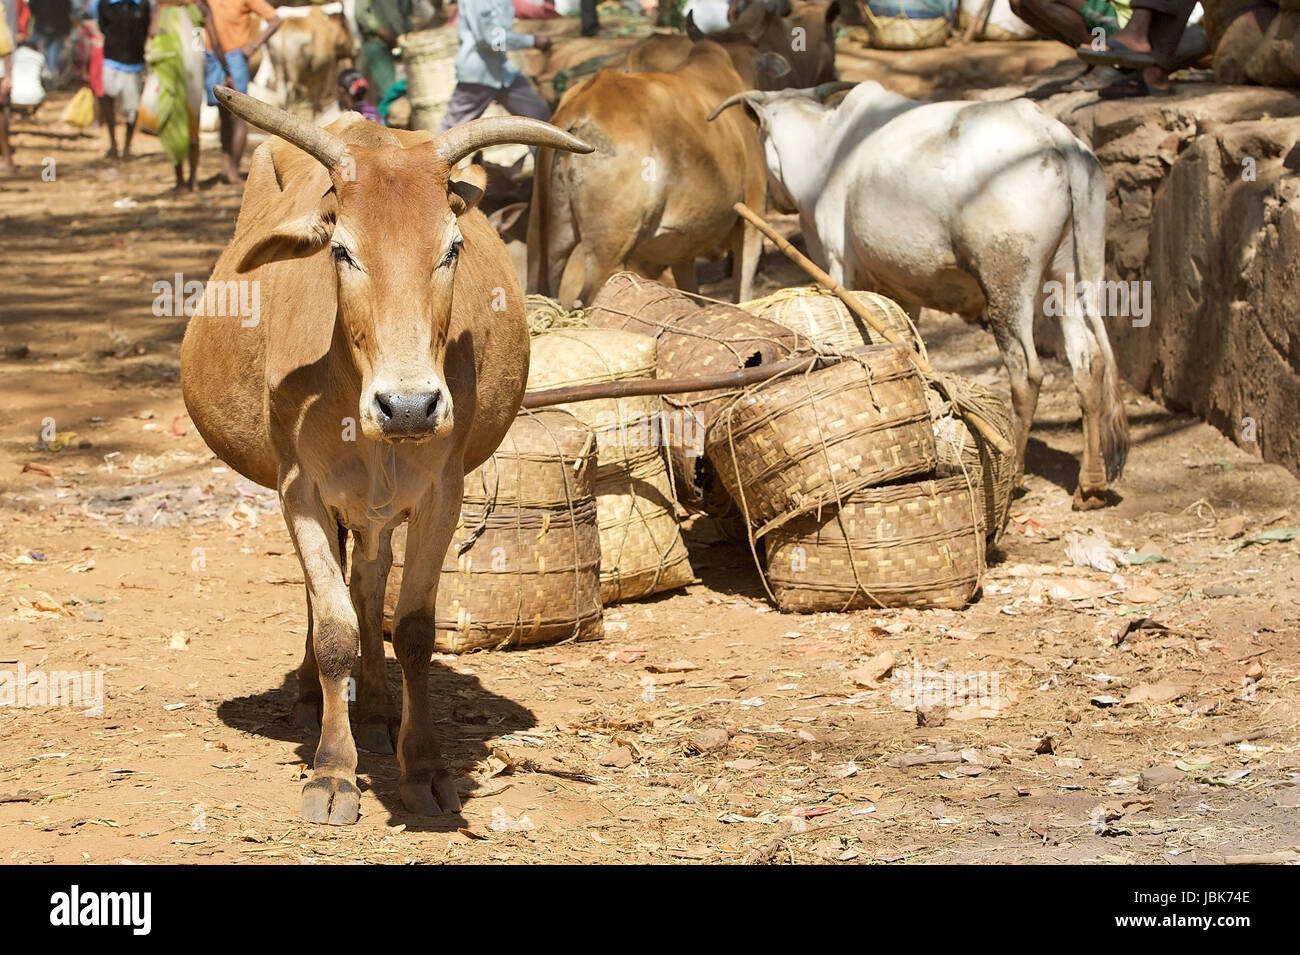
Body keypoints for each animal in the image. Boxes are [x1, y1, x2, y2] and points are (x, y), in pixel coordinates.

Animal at [180, 88, 592, 824]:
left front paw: (422, 767)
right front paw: (333, 772)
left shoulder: (441, 493)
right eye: (342, 250)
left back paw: (373, 710)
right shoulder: (300, 491)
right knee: (332, 598)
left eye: (452, 246)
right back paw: (316, 702)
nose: (408, 406)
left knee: (370, 587)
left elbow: (414, 629)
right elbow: (334, 629)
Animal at [527, 38, 775, 305]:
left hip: (544, 242)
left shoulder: (681, 247)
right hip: (609, 249)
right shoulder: (752, 215)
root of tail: (584, 104)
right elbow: (743, 291)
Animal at [711, 83, 1129, 508]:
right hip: (1070, 275)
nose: (773, 200)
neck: (825, 148)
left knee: (1027, 373)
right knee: (1089, 363)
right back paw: (1090, 486)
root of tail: (1055, 137)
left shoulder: (839, 262)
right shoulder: (904, 291)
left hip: (1007, 281)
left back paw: (1016, 477)